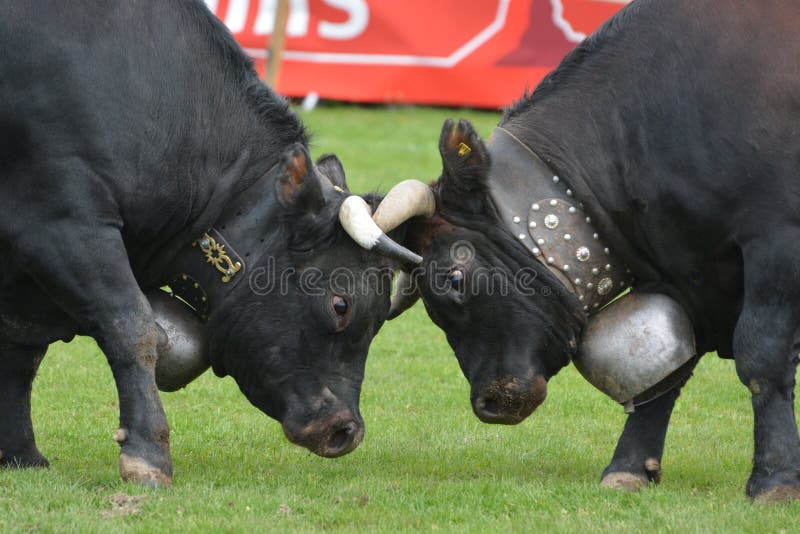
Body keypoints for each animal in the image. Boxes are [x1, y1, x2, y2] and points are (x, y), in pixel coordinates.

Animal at [0, 0, 431, 487]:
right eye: (341, 304)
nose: (345, 429)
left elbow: (22, 349)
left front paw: (21, 453)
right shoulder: (64, 221)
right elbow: (131, 327)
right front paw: (148, 455)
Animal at [388, 0, 800, 501]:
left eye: (452, 277)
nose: (487, 401)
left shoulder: (777, 239)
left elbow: (762, 354)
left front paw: (776, 477)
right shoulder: (685, 269)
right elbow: (665, 371)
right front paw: (629, 466)